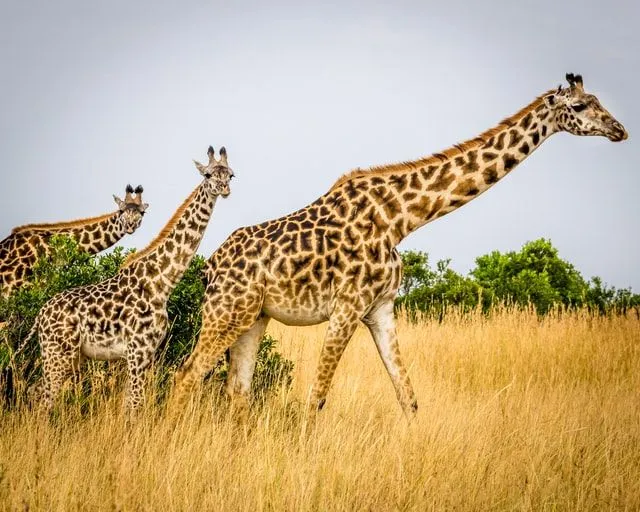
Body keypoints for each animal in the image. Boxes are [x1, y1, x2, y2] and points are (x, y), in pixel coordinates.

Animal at [168, 73, 628, 420]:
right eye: (581, 106)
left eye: (597, 100)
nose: (619, 130)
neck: (401, 220)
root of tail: (208, 267)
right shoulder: (347, 307)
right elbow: (316, 398)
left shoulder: (381, 309)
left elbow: (408, 397)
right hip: (225, 312)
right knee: (185, 376)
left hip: (254, 317)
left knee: (238, 389)